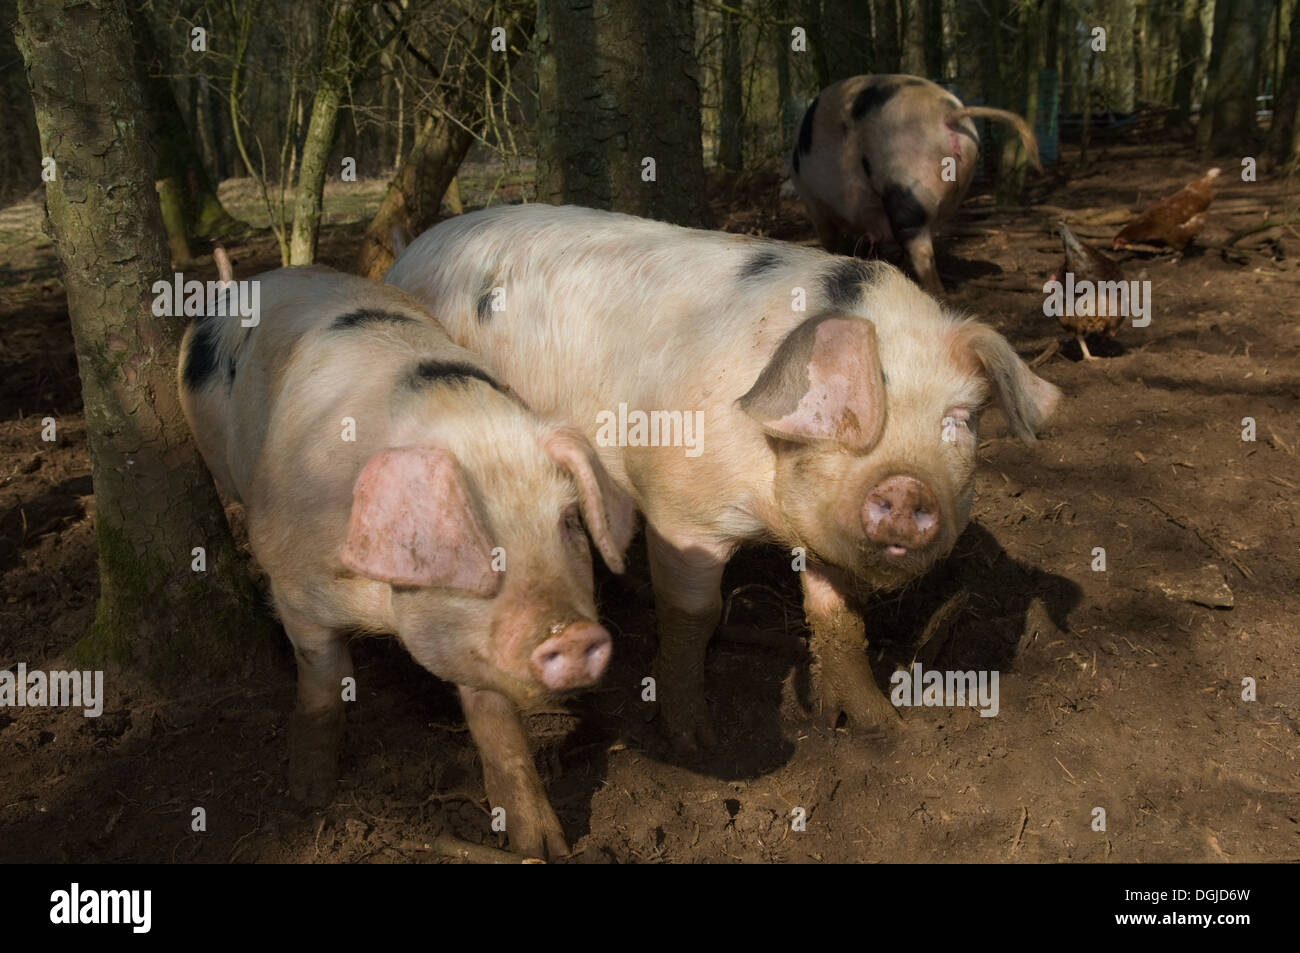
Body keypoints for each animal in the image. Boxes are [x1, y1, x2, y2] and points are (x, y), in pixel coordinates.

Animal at [177, 262, 635, 859]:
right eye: (454, 535)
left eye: (570, 520)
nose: (573, 634)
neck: (384, 606)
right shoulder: (292, 584)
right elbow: (323, 684)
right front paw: (309, 795)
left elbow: (498, 723)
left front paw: (542, 847)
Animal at [385, 203, 1061, 752]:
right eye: (835, 412)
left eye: (958, 421)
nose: (904, 486)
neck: (771, 515)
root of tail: (412, 249)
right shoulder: (684, 512)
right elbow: (694, 615)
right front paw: (695, 743)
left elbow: (839, 619)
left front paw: (880, 730)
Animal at [790, 74, 1040, 295]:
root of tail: (947, 114)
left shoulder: (814, 204)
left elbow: (829, 238)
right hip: (943, 194)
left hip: (907, 179)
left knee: (920, 249)